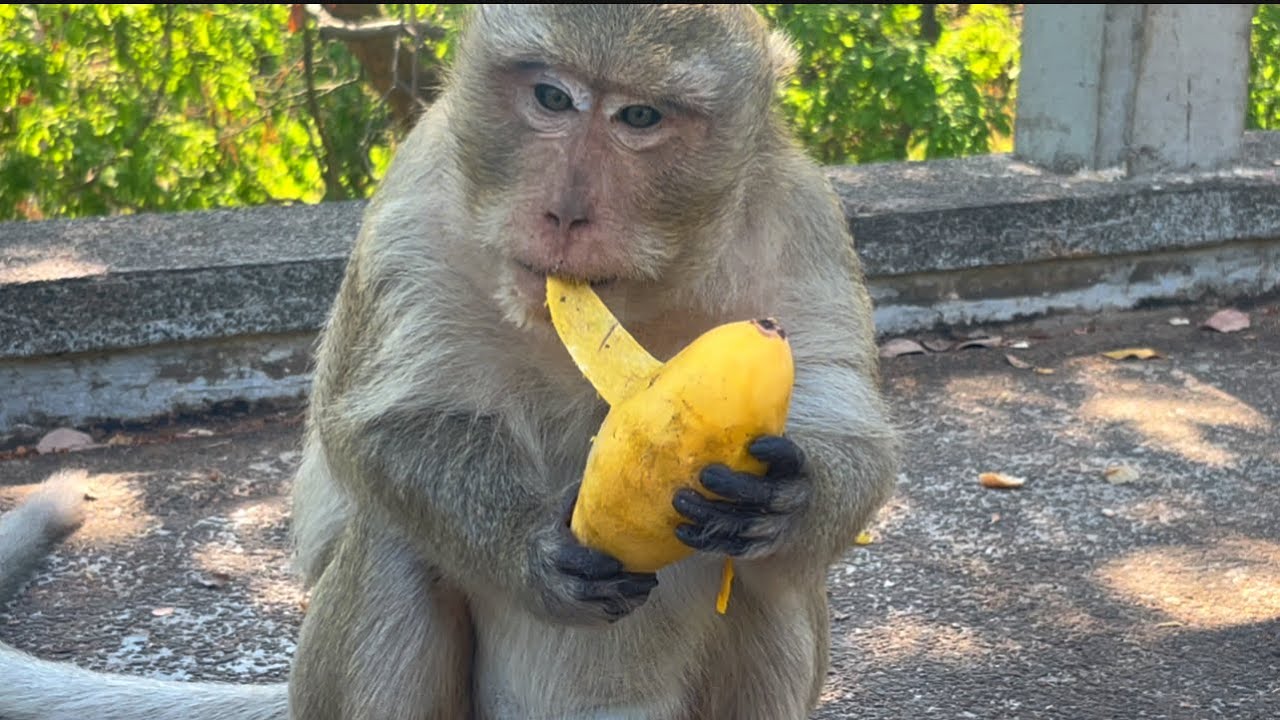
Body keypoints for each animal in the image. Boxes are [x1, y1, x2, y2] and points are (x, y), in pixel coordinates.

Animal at [0, 5, 899, 720]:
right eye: (551, 97)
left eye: (638, 116)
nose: (564, 211)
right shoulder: (416, 208)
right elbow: (381, 426)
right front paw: (528, 548)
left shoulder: (800, 222)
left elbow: (848, 430)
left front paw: (788, 493)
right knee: (395, 543)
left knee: (768, 580)